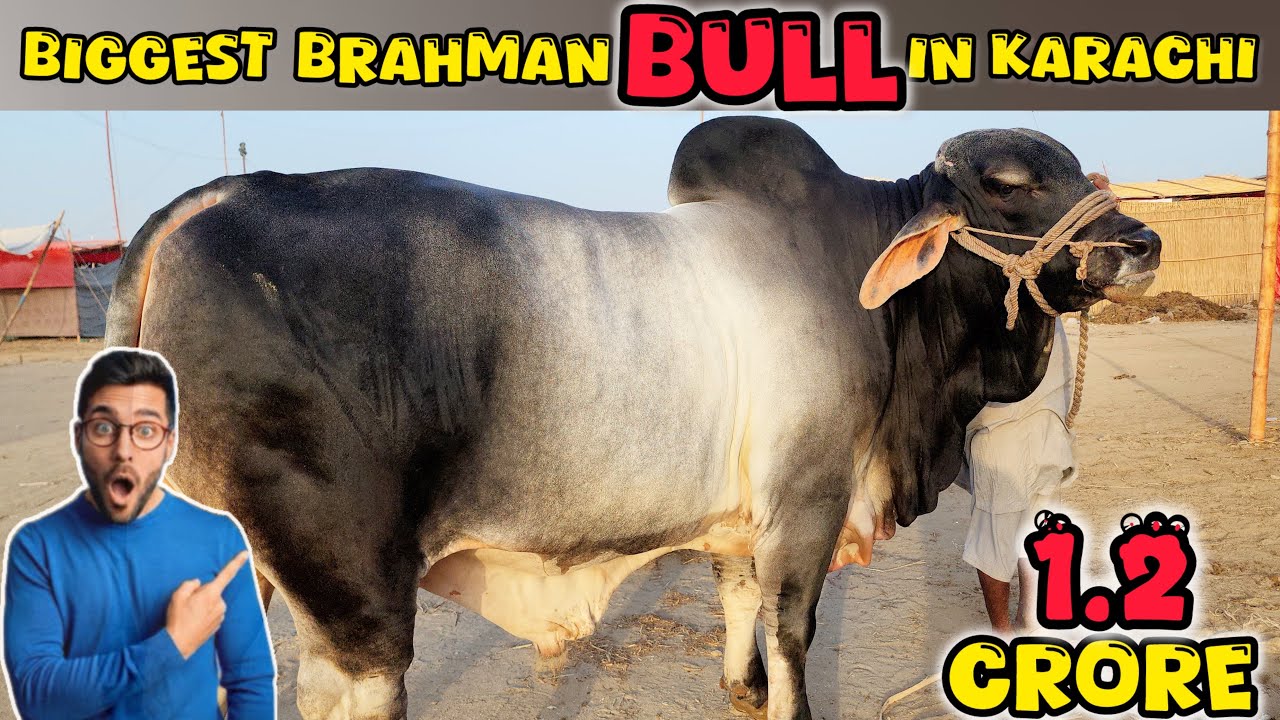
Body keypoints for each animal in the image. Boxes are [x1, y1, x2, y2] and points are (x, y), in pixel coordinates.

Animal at [104, 116, 1159, 720]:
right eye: (1011, 184)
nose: (1143, 240)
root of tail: (213, 198)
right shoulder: (808, 499)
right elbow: (792, 628)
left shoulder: (742, 514)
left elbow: (738, 603)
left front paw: (739, 690)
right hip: (350, 588)